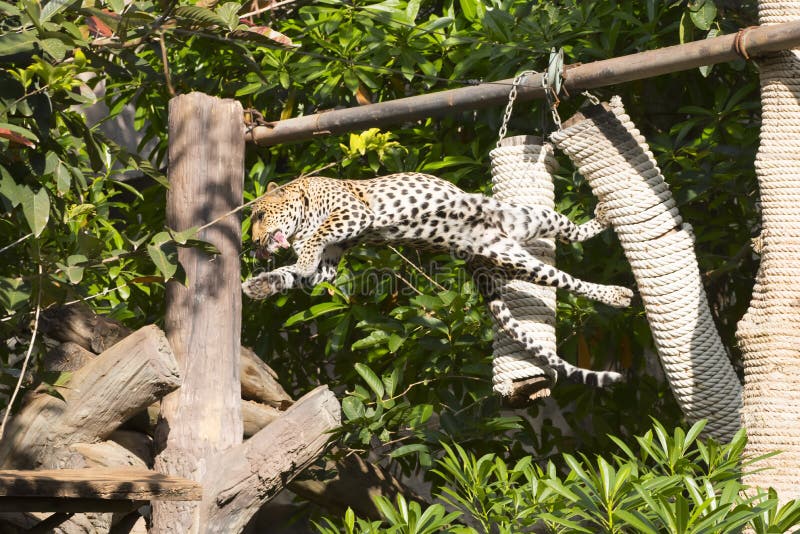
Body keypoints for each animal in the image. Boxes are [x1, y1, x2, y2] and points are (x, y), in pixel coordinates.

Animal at [242, 172, 631, 387]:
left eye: (259, 216)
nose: (256, 245)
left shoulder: (351, 212)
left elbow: (314, 240)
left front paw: (298, 258)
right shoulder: (331, 262)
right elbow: (295, 273)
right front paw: (260, 284)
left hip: (528, 215)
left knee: (573, 242)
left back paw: (610, 254)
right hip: (512, 256)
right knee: (560, 279)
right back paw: (618, 294)